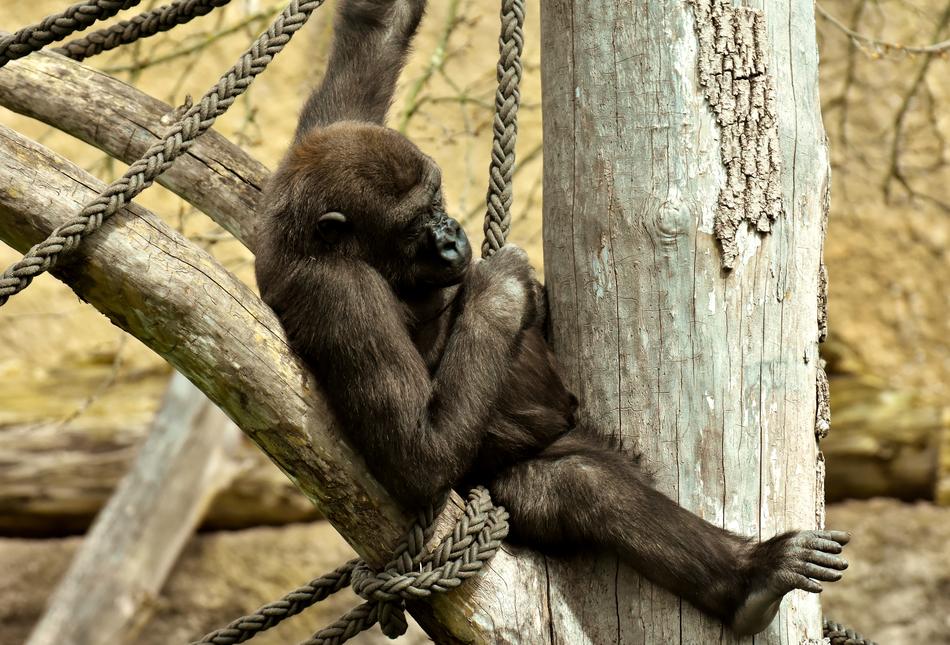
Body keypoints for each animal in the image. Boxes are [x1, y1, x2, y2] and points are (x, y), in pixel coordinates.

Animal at [254, 0, 850, 636]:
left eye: (437, 200)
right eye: (415, 226)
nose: (451, 239)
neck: (318, 238)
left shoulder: (316, 144)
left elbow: (377, 28)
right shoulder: (339, 294)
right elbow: (417, 453)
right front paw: (503, 289)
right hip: (500, 488)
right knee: (580, 489)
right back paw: (750, 579)